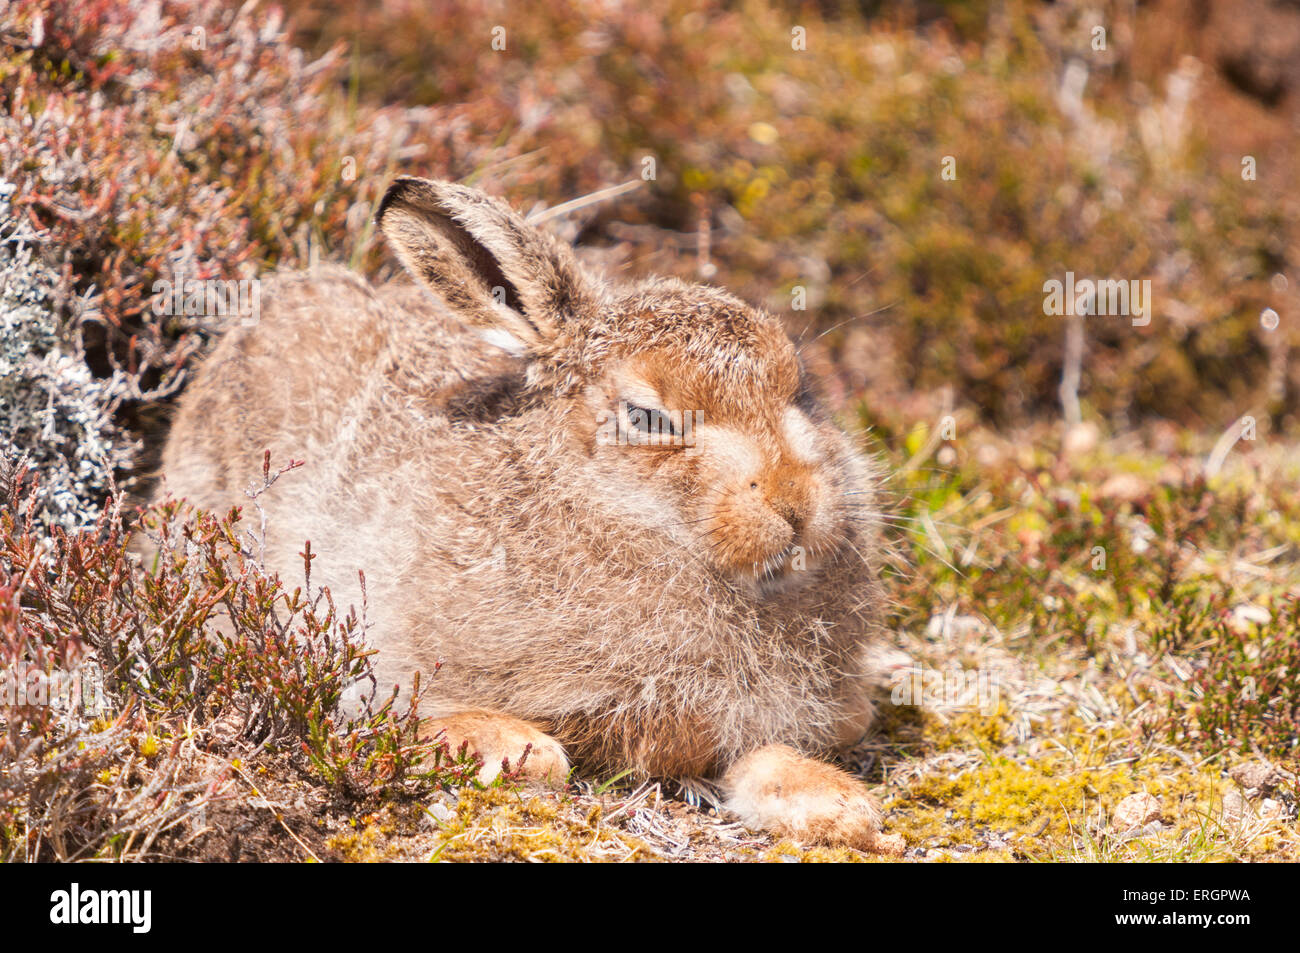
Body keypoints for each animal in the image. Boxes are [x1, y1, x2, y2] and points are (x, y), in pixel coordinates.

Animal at [153, 176, 906, 855]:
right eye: (648, 418)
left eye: (800, 391)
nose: (796, 504)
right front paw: (508, 747)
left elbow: (769, 755)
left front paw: (841, 807)